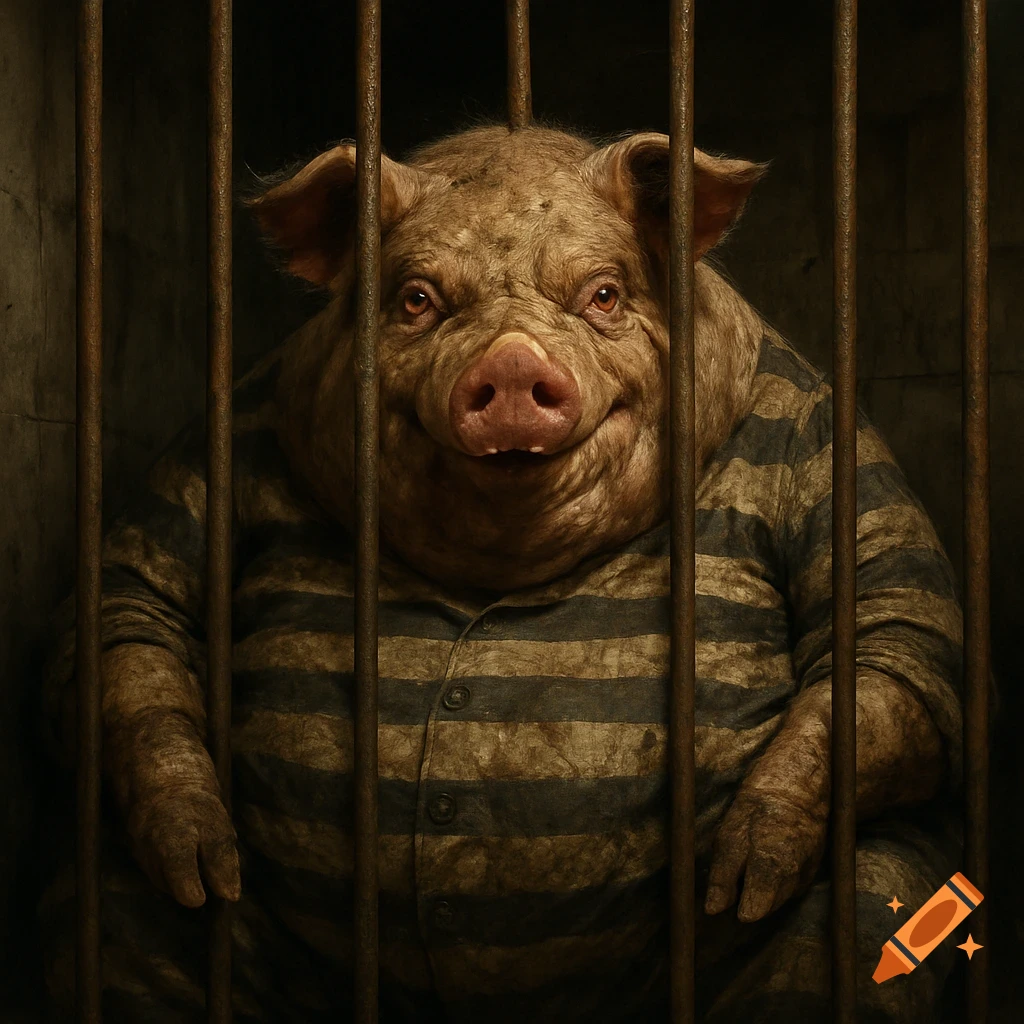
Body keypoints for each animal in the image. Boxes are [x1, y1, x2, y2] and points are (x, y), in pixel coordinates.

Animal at [40, 125, 963, 1024]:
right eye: (417, 300)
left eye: (603, 296)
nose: (513, 362)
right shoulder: (236, 429)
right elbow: (136, 602)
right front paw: (205, 867)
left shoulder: (822, 441)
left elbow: (890, 633)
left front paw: (740, 882)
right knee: (124, 918)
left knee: (871, 889)